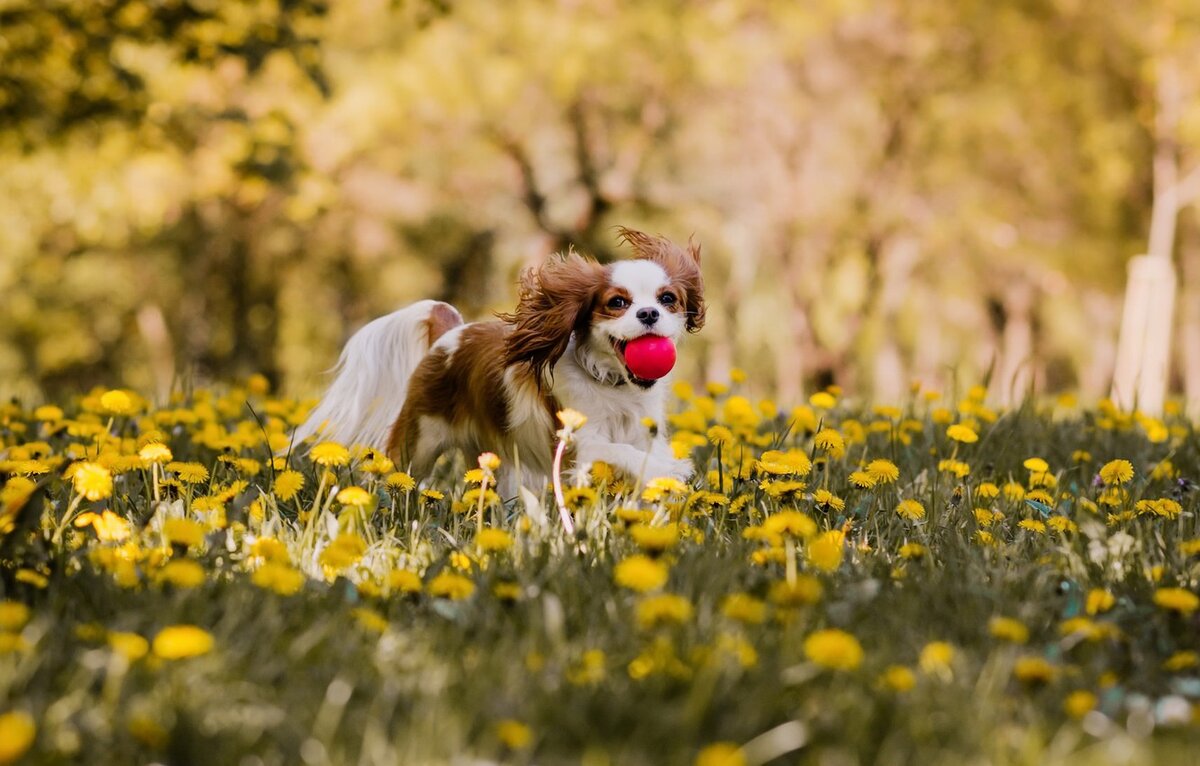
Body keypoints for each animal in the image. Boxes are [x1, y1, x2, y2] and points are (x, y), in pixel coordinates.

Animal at [294, 228, 700, 494]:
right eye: (617, 302)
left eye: (668, 299)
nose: (648, 313)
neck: (614, 385)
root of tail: (450, 334)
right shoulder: (577, 445)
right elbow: (621, 451)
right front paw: (669, 469)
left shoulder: (645, 433)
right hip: (416, 445)